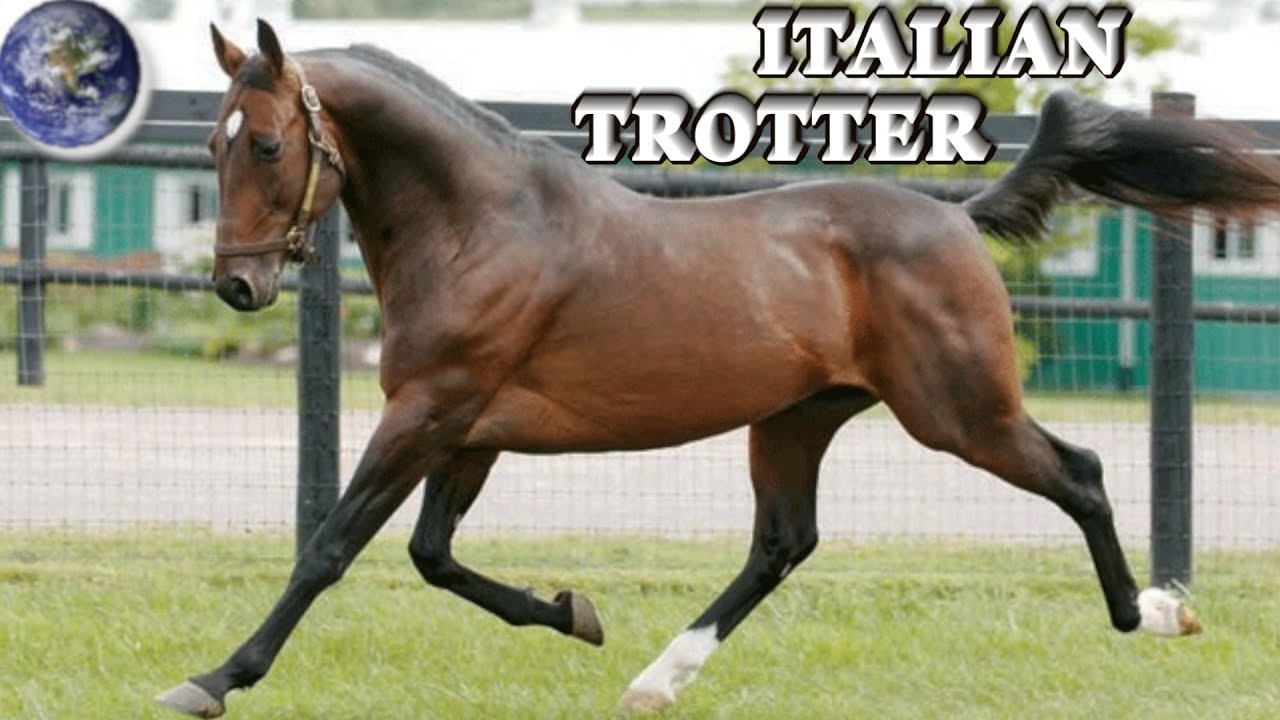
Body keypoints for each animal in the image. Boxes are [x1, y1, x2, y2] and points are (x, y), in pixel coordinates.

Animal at [157, 20, 1280, 718]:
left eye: (266, 145)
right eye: (211, 147)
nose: (238, 287)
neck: (483, 222)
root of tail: (957, 218)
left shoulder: (429, 413)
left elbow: (330, 548)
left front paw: (212, 679)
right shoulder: (465, 429)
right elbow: (433, 557)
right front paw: (575, 614)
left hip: (958, 412)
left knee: (1079, 474)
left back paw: (1154, 613)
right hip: (796, 418)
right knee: (782, 544)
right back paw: (656, 679)